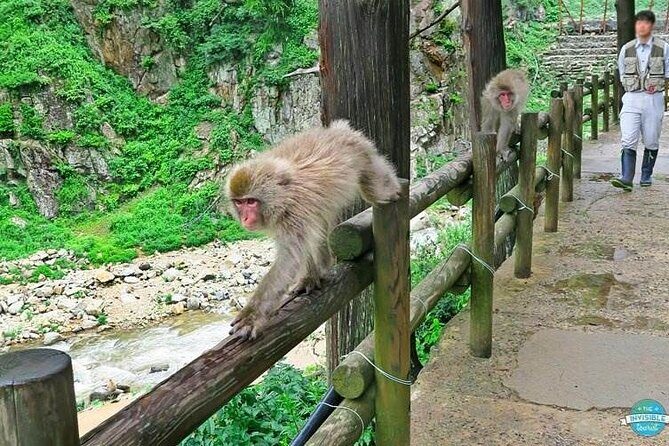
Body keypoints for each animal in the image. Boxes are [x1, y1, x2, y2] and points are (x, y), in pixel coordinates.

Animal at [225, 120, 401, 340]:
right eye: (239, 203)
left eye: (251, 201)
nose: (245, 218)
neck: (282, 197)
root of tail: (339, 130)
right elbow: (302, 246)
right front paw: (309, 278)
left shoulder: (294, 213)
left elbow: (289, 259)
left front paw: (252, 316)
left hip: (364, 157)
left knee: (375, 192)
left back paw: (395, 190)